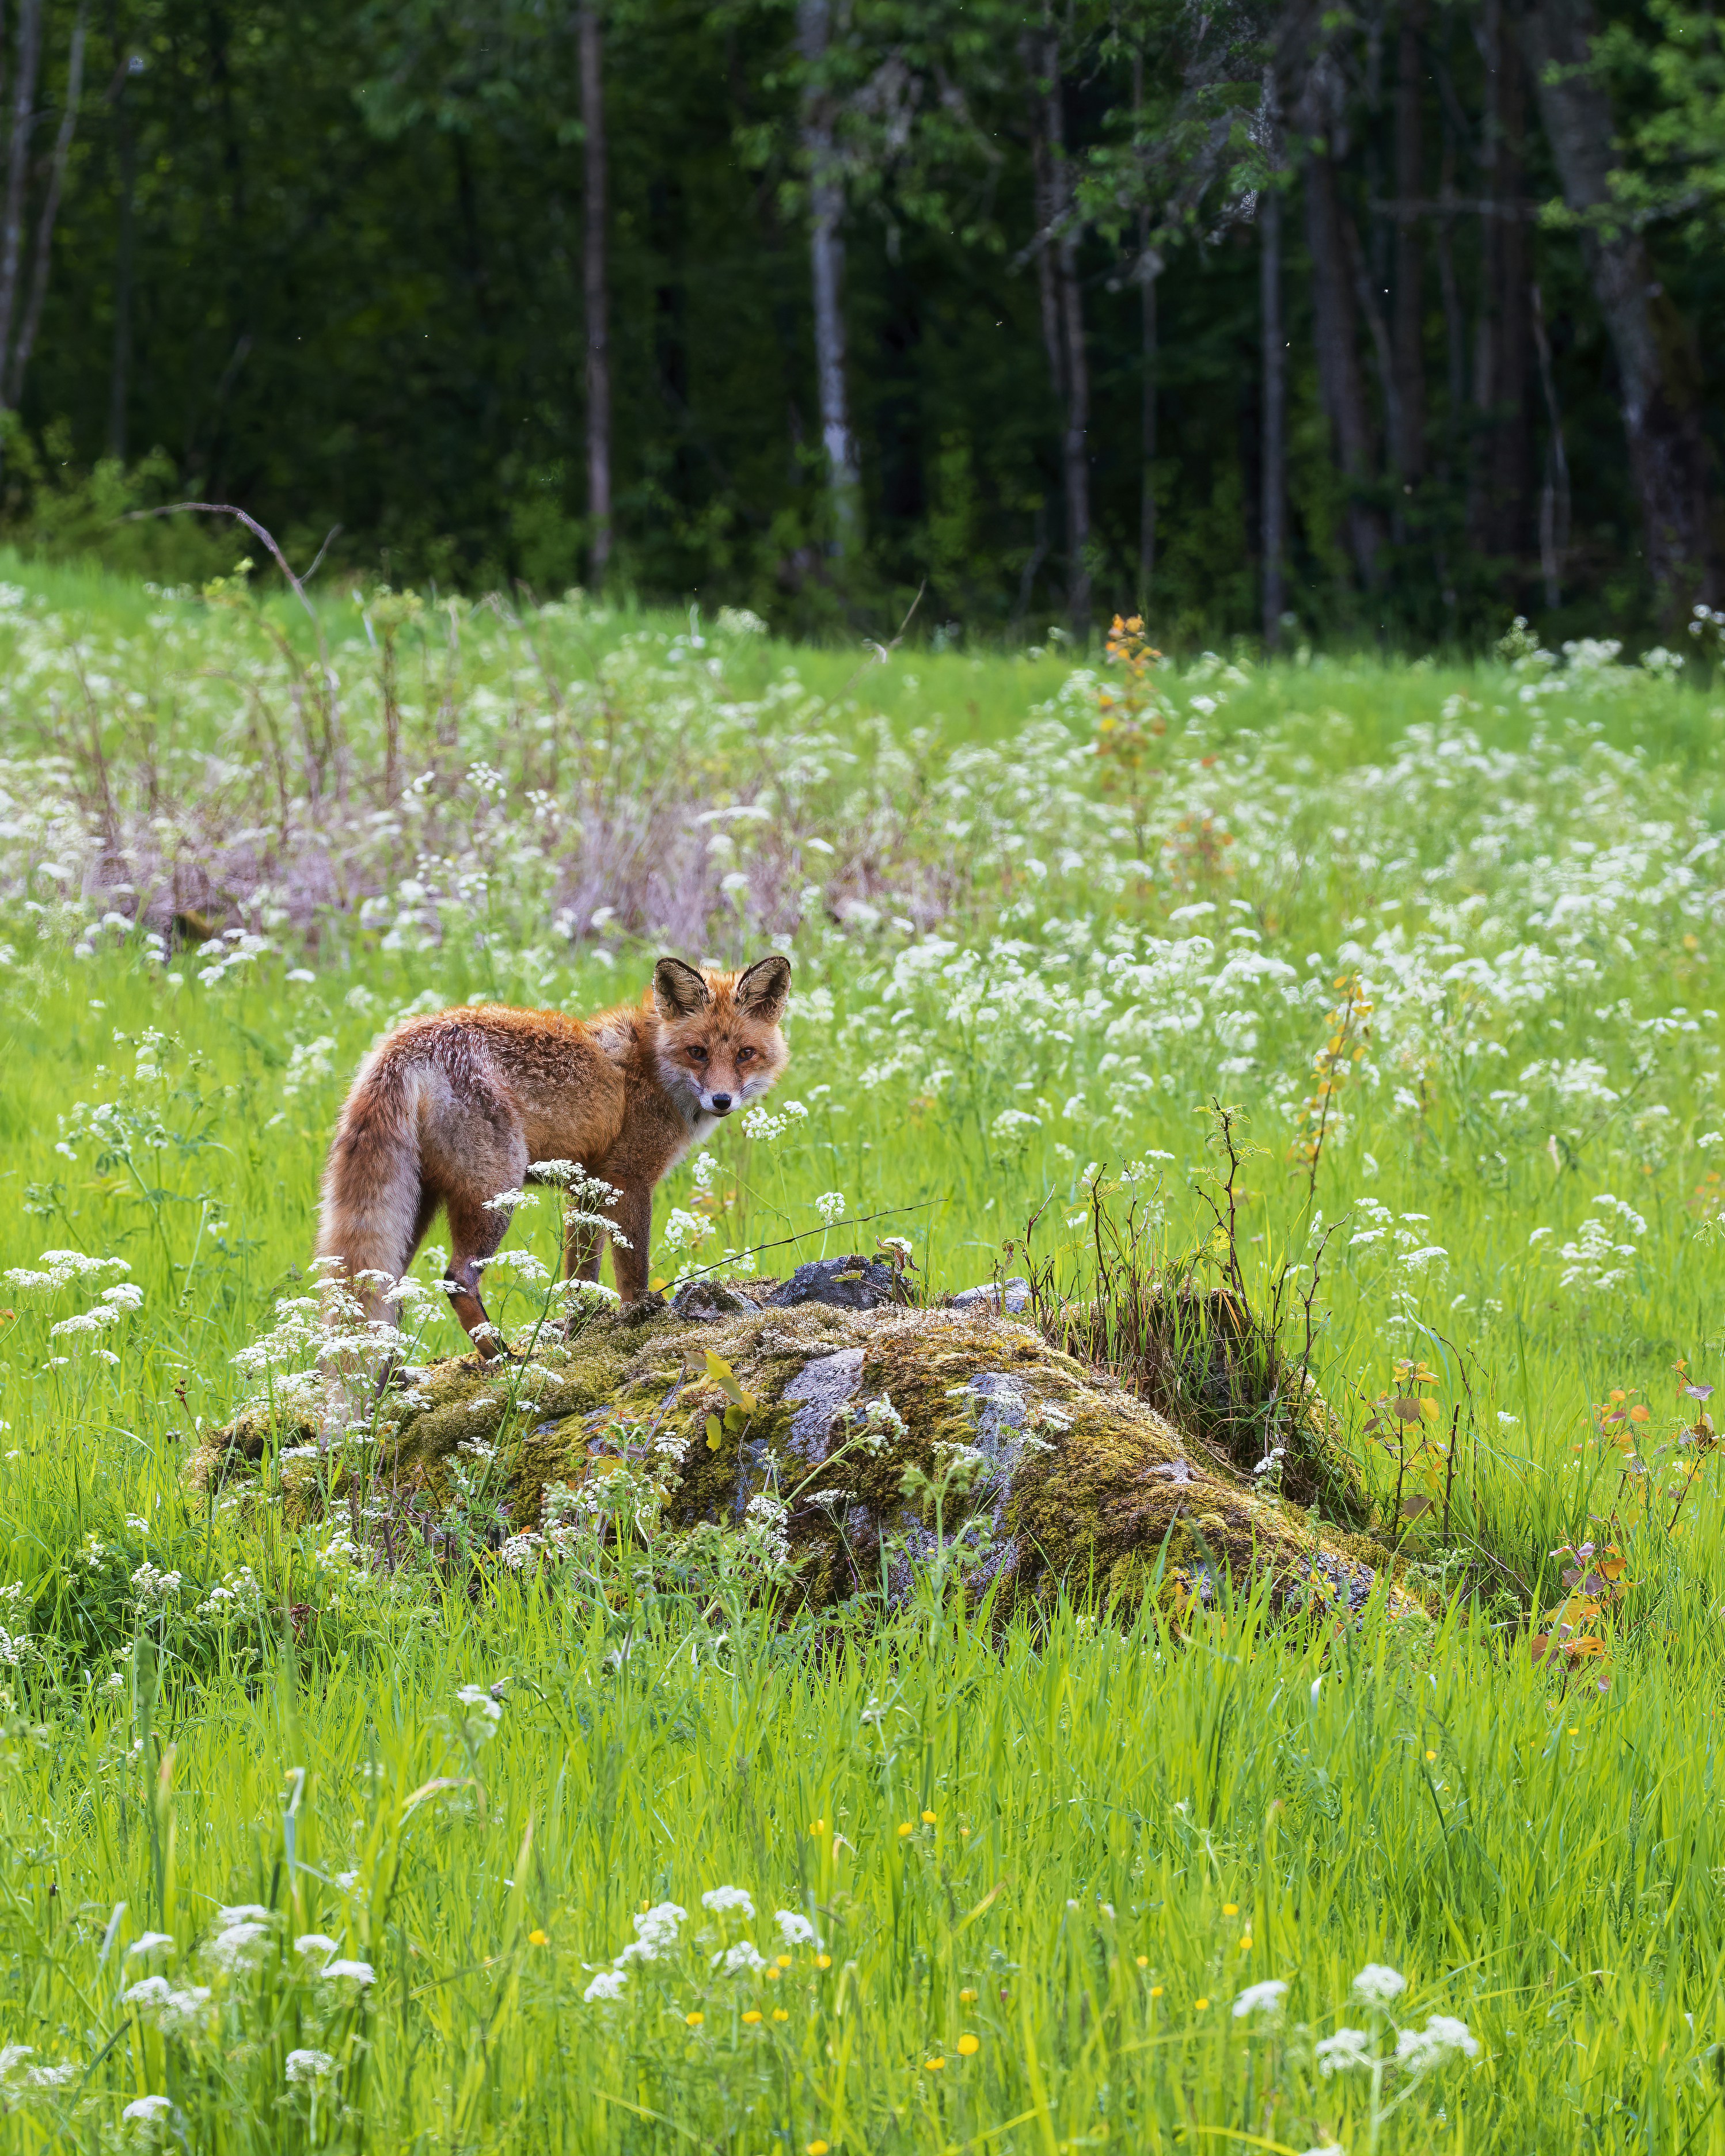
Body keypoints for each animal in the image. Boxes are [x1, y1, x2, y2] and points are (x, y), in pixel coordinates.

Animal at [315, 953, 791, 1359]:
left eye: (745, 1054)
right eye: (698, 1052)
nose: (722, 1100)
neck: (651, 1068)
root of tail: (403, 1045)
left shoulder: (588, 1189)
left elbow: (580, 1281)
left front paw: (577, 1336)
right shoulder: (629, 1179)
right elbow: (632, 1275)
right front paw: (641, 1322)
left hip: (417, 1205)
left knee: (381, 1292)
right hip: (494, 1193)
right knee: (456, 1279)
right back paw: (504, 1361)